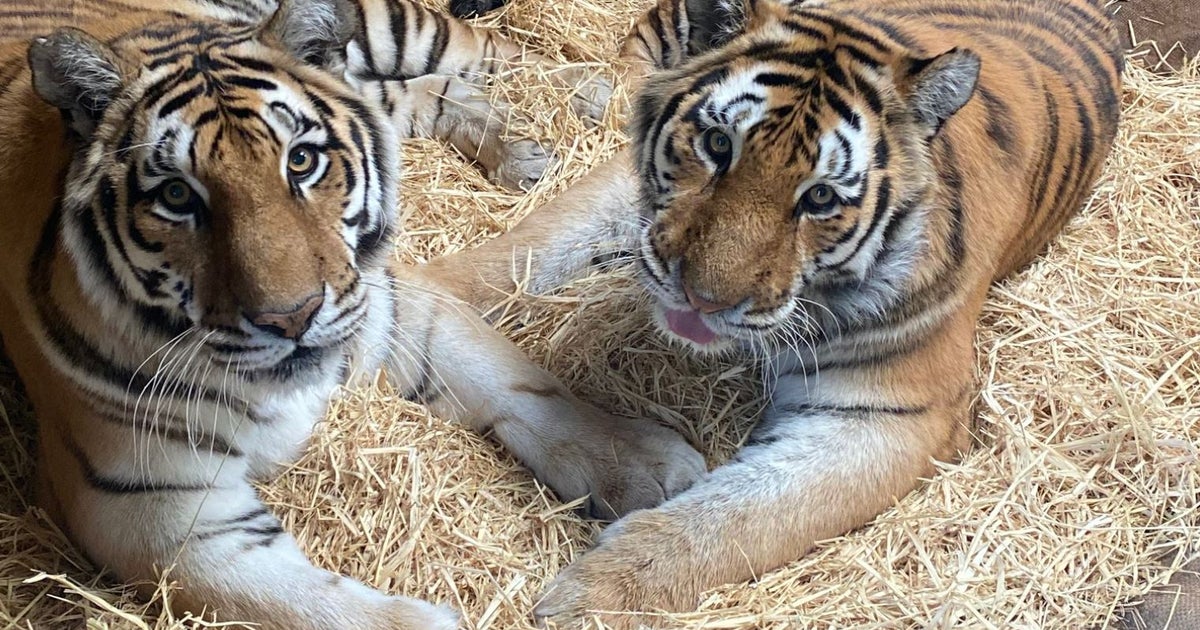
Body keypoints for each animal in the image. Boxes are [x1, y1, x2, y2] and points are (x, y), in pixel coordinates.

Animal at [0, 0, 707, 628]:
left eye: (302, 161)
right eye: (177, 195)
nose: (291, 318)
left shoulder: (399, 312)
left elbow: (527, 388)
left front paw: (649, 464)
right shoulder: (150, 511)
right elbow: (308, 607)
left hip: (389, 25)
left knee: (486, 51)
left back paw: (595, 91)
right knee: (421, 93)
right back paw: (516, 143)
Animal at [431, 0, 1124, 625]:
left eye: (819, 198)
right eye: (717, 144)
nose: (703, 299)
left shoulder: (891, 415)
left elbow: (735, 520)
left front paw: (589, 598)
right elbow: (538, 241)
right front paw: (427, 293)